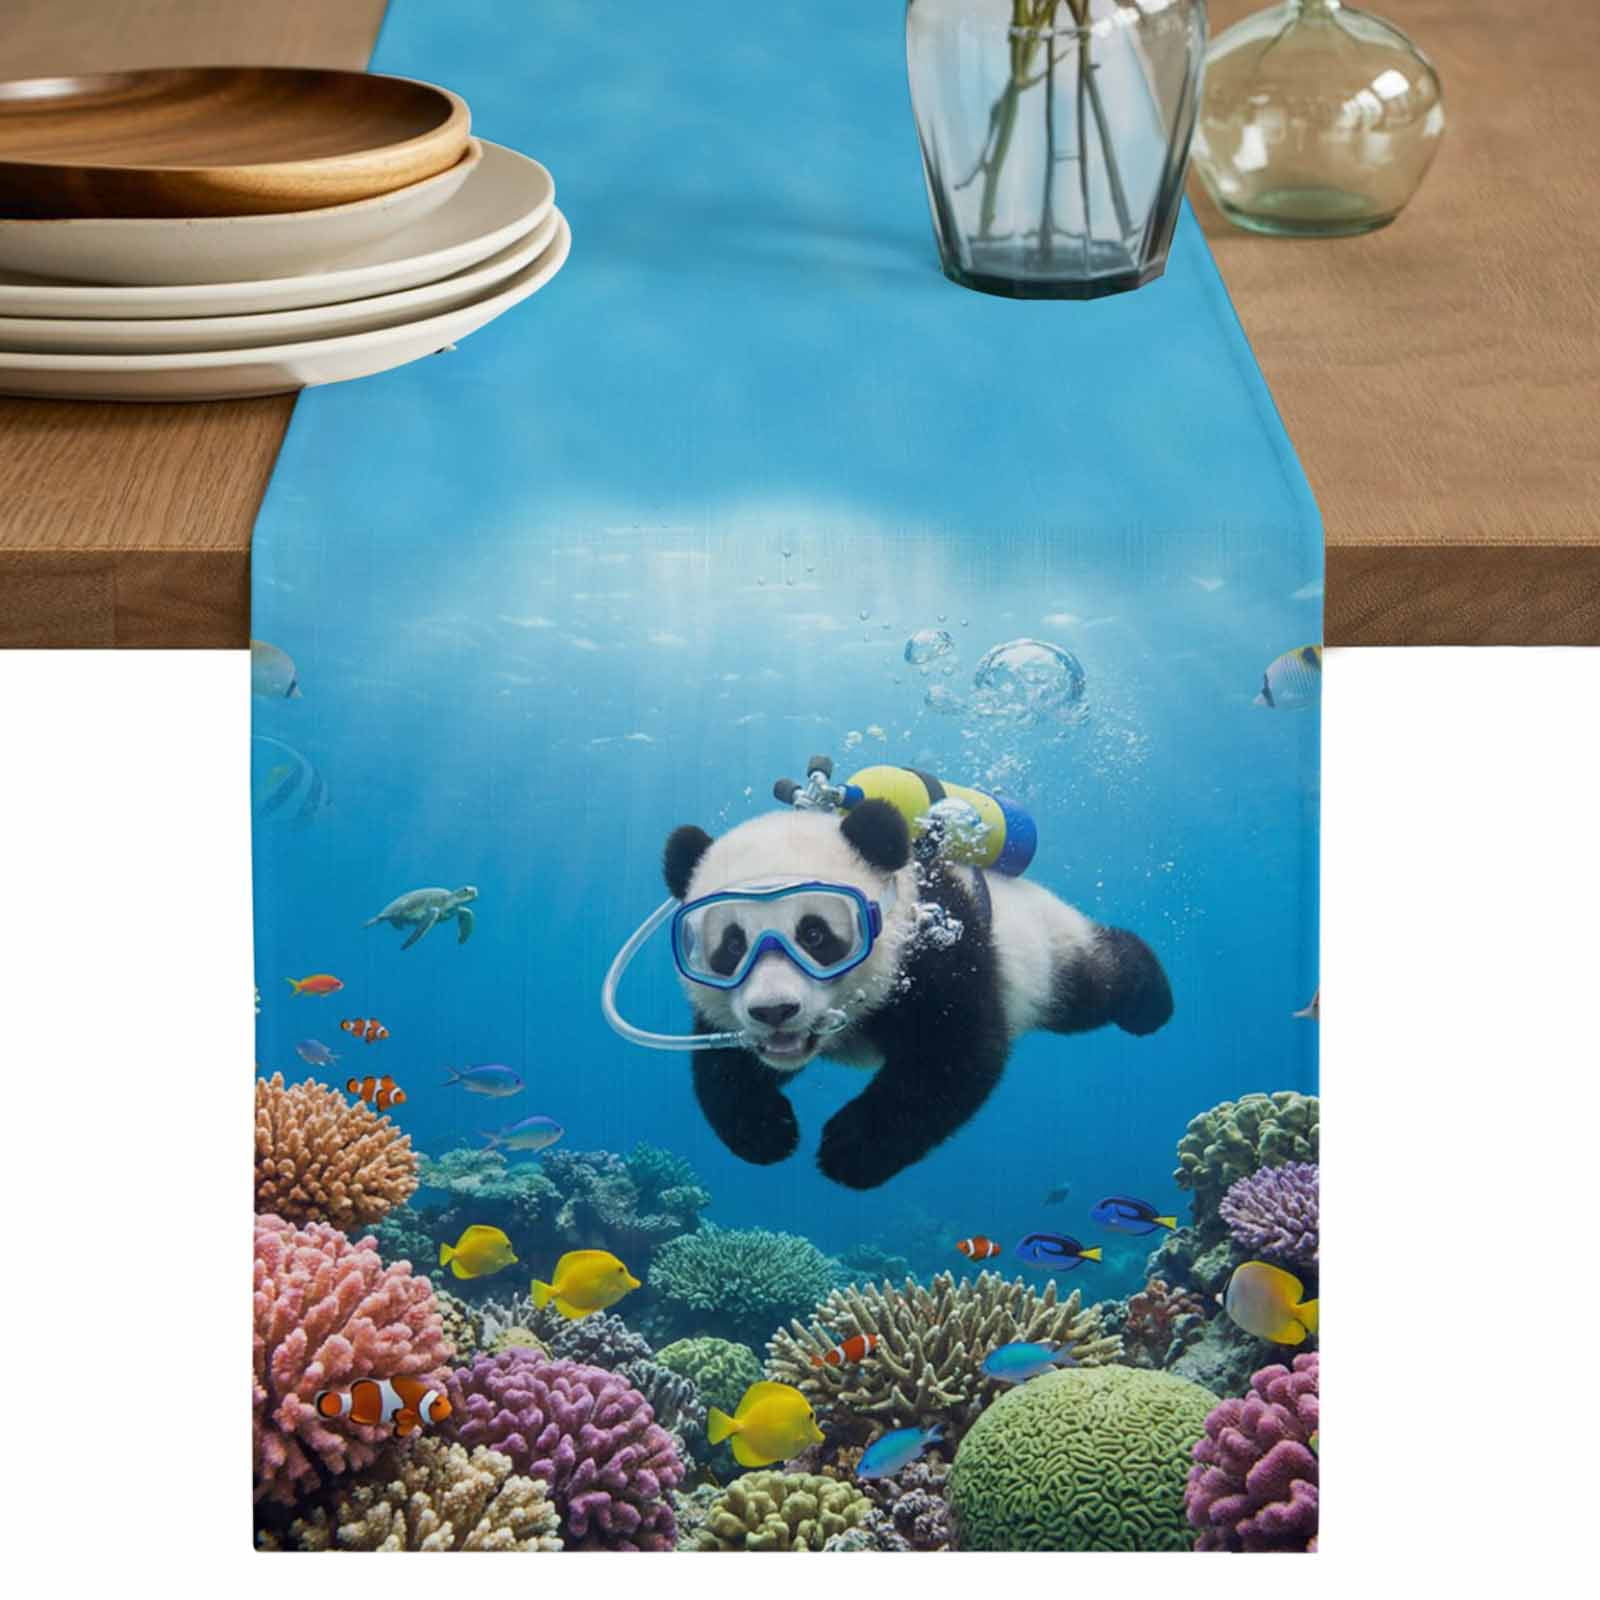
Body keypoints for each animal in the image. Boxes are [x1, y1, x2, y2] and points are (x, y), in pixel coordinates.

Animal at [662, 797, 1173, 1190]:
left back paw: (1152, 1000)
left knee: (1096, 984)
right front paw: (765, 1131)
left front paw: (850, 1149)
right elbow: (722, 1062)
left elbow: (956, 1054)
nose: (775, 1011)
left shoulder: (939, 945)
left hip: (1044, 953)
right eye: (732, 944)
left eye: (814, 934)